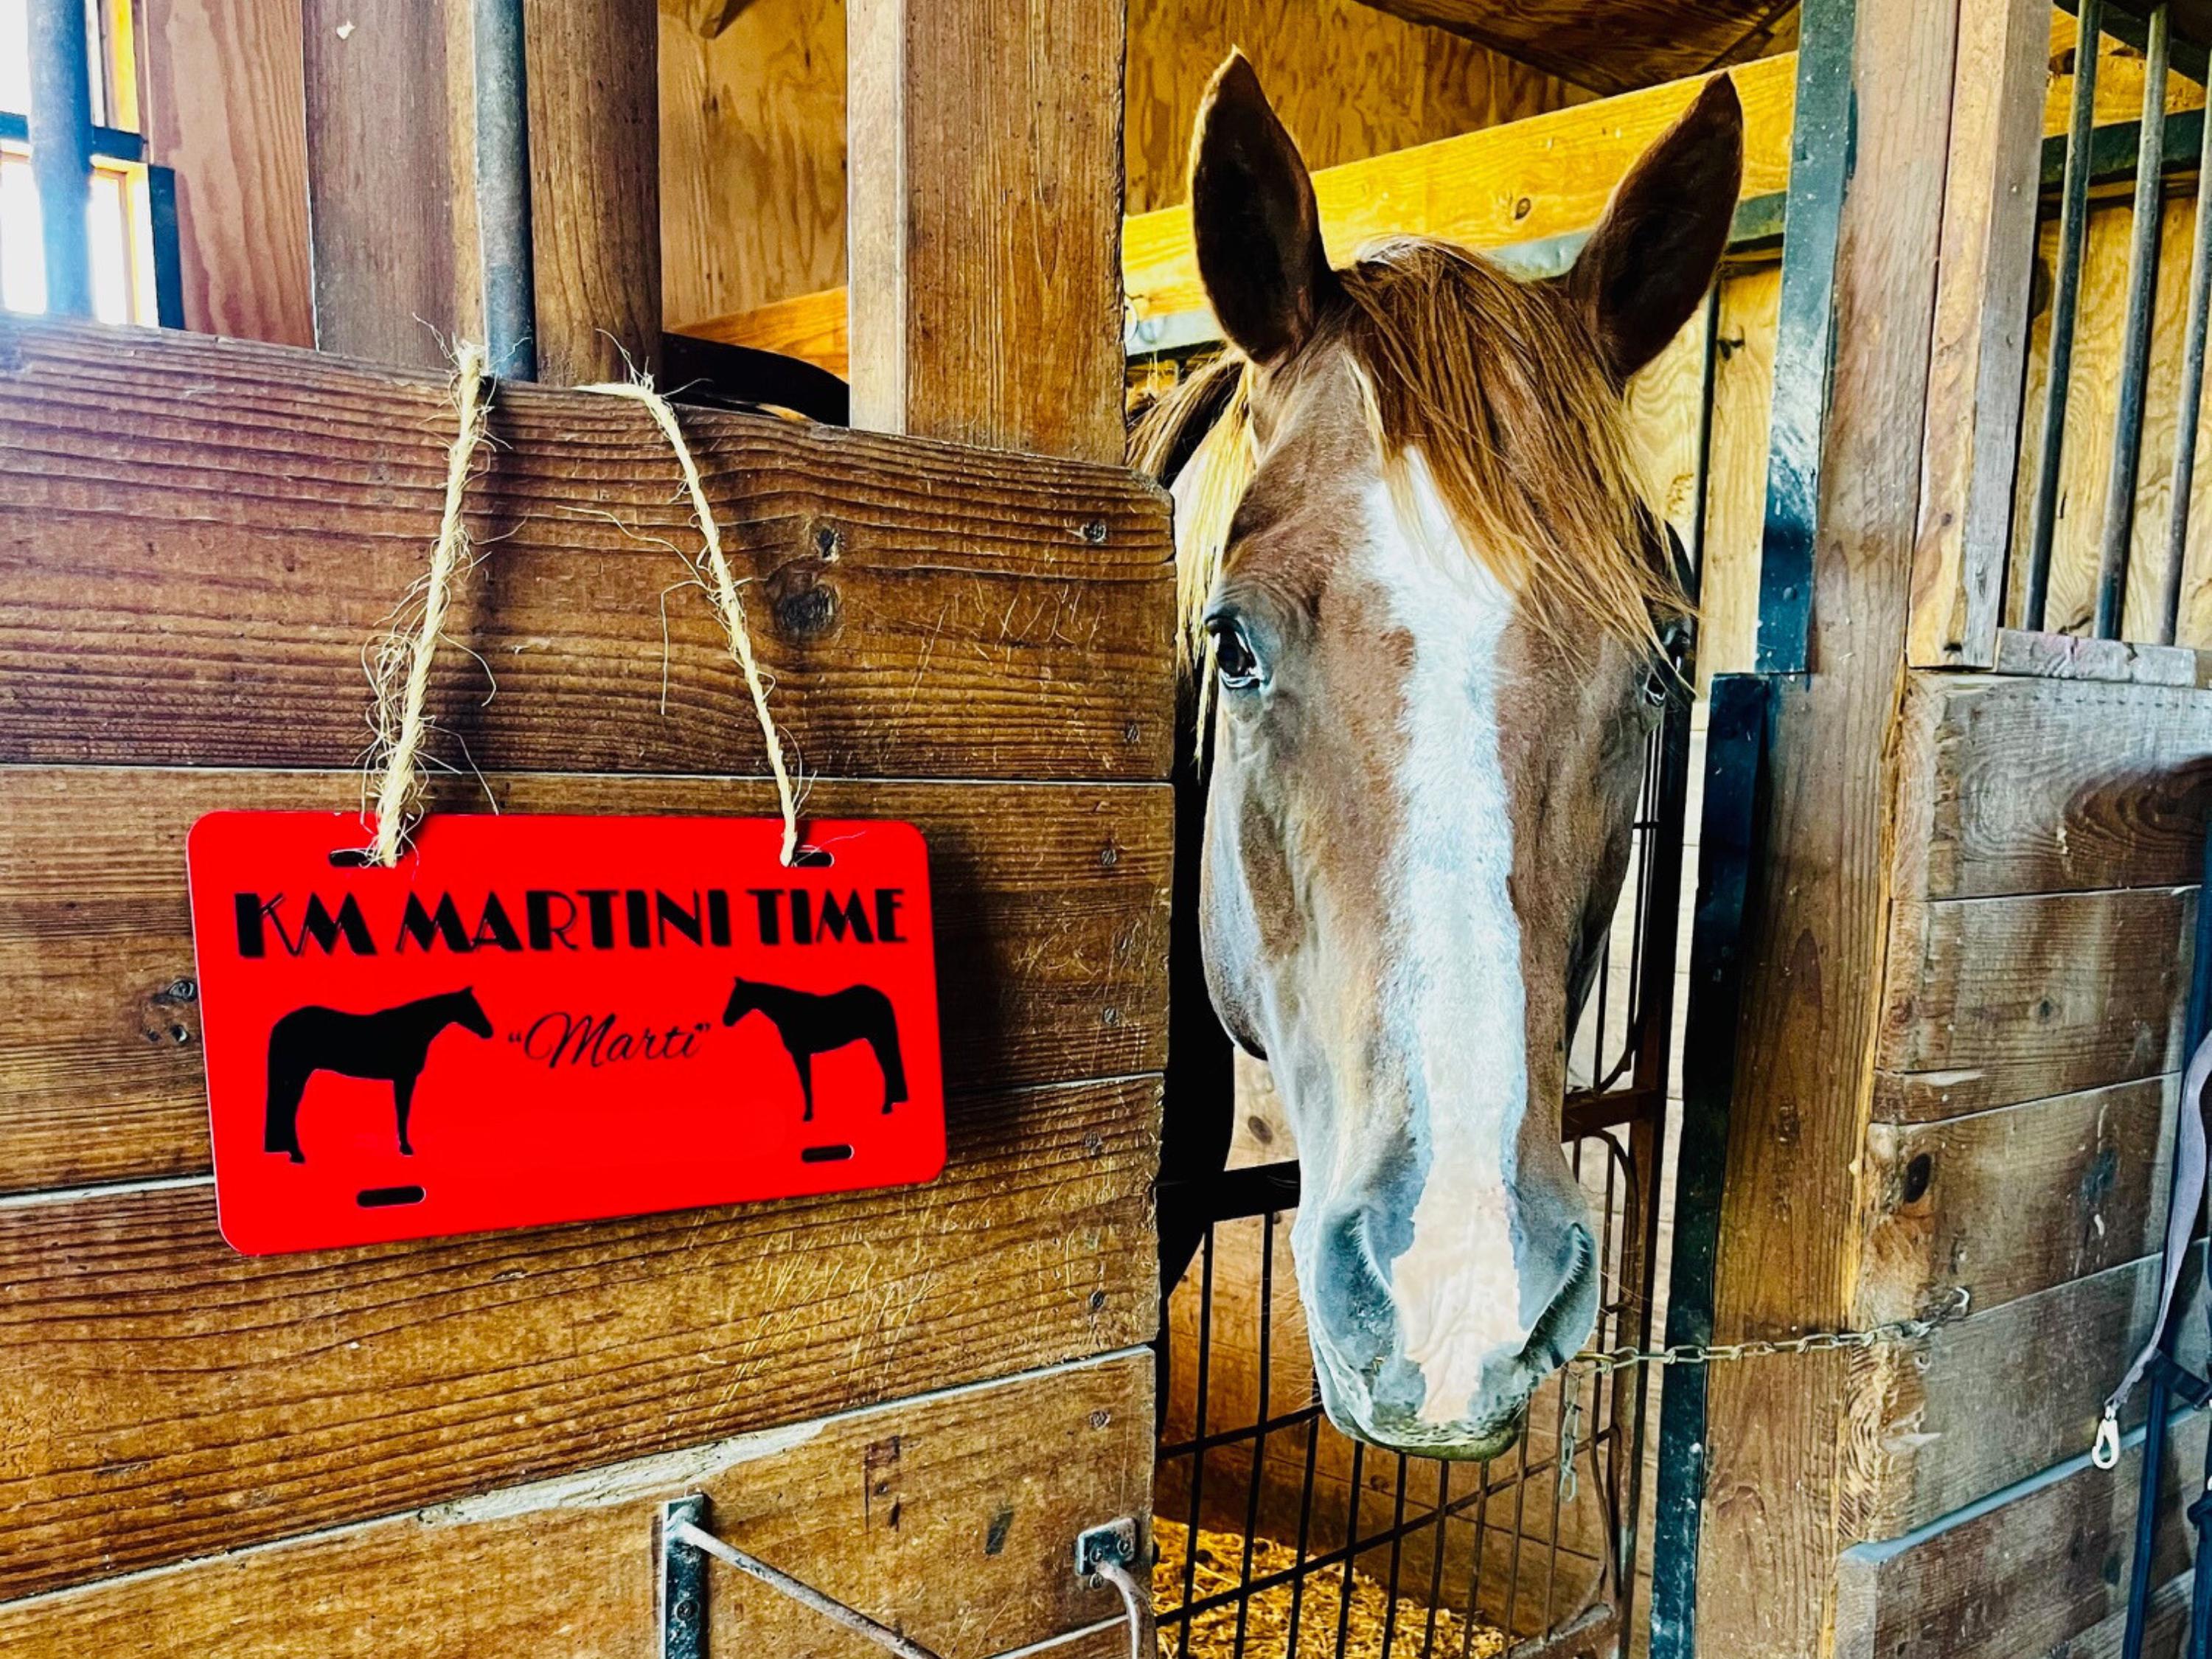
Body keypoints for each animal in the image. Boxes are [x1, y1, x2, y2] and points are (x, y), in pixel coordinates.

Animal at [264, 988, 493, 1163]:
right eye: (472, 1007)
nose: (489, 1031)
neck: (410, 1028)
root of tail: (283, 1023)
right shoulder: (405, 1078)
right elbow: (403, 1112)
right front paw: (406, 1148)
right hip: (298, 1074)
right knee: (289, 1108)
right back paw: (297, 1154)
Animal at [721, 977, 908, 1121]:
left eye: (737, 996)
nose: (726, 1020)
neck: (789, 1011)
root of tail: (880, 997)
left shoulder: (801, 1054)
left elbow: (806, 1083)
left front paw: (808, 1116)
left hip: (879, 1040)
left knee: (887, 1069)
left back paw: (886, 1107)